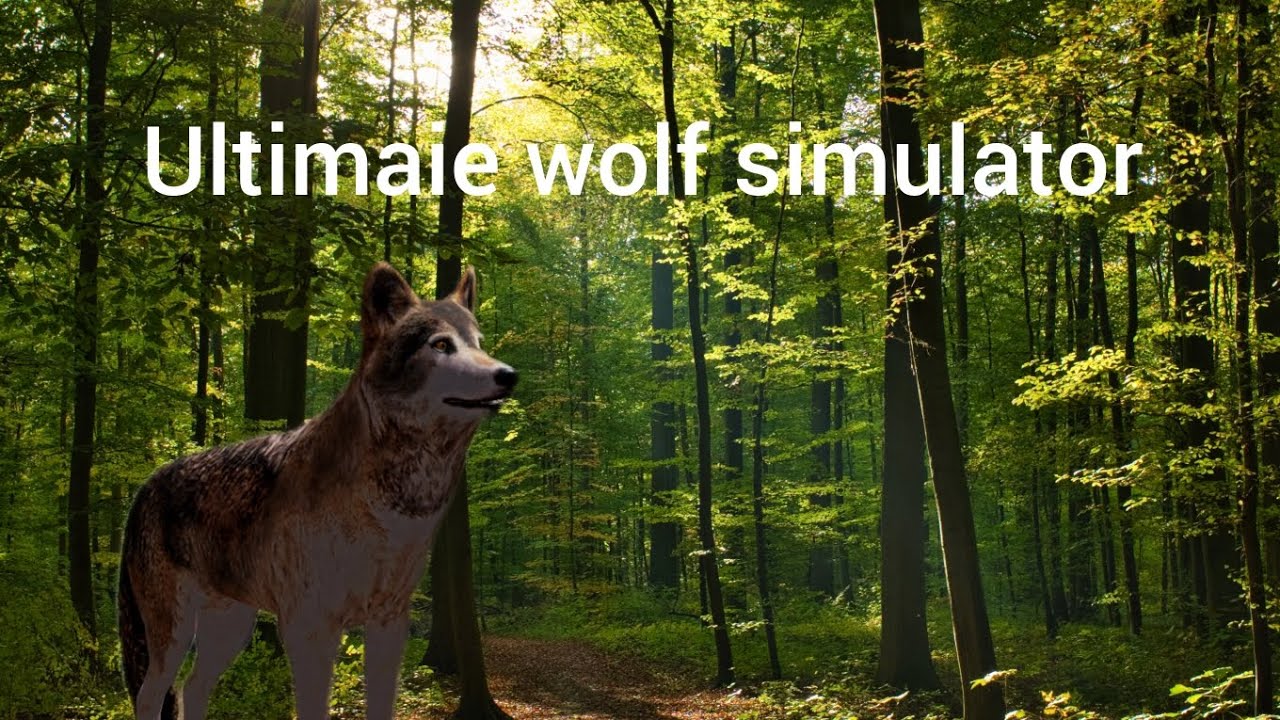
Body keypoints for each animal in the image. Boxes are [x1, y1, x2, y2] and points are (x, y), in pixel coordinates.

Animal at [117, 263, 515, 720]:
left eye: (479, 344)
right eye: (442, 345)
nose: (508, 375)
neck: (392, 509)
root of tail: (145, 486)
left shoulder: (389, 624)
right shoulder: (309, 629)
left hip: (230, 629)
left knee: (192, 687)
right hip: (174, 632)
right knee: (151, 695)